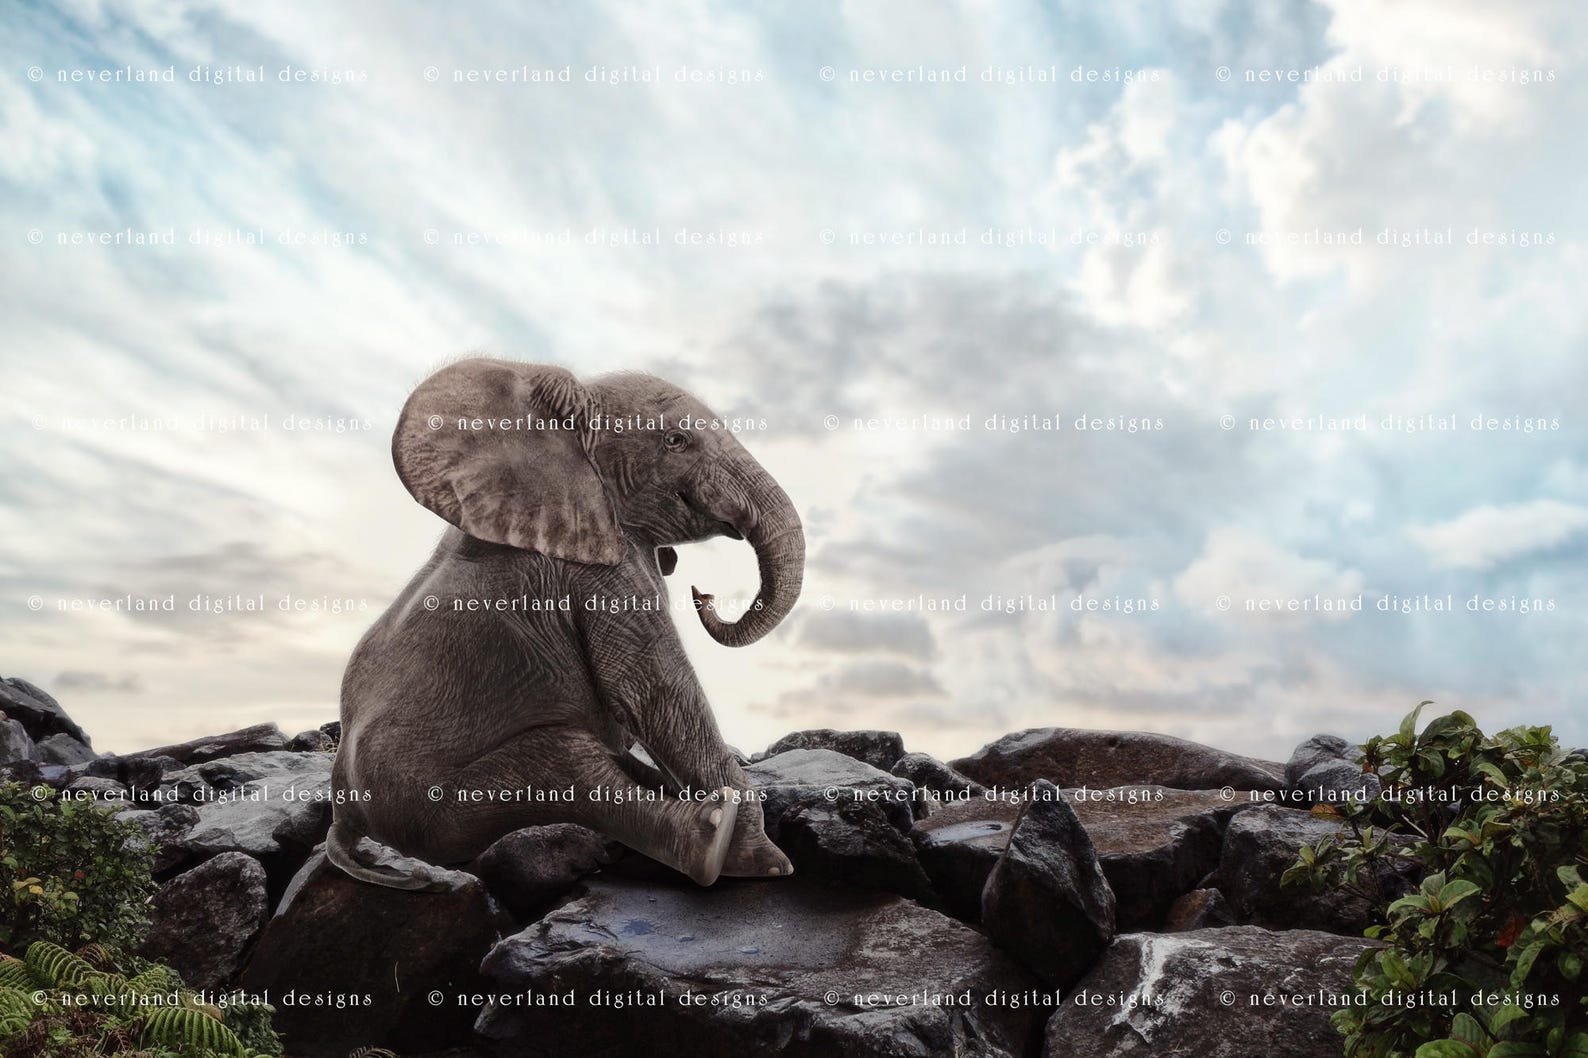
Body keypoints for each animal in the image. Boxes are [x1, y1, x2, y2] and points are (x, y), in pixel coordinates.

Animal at [327, 357, 803, 890]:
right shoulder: (596, 571)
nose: (704, 594)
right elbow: (650, 690)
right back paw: (710, 841)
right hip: (420, 804)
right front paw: (767, 863)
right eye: (676, 441)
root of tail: (344, 814)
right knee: (566, 761)